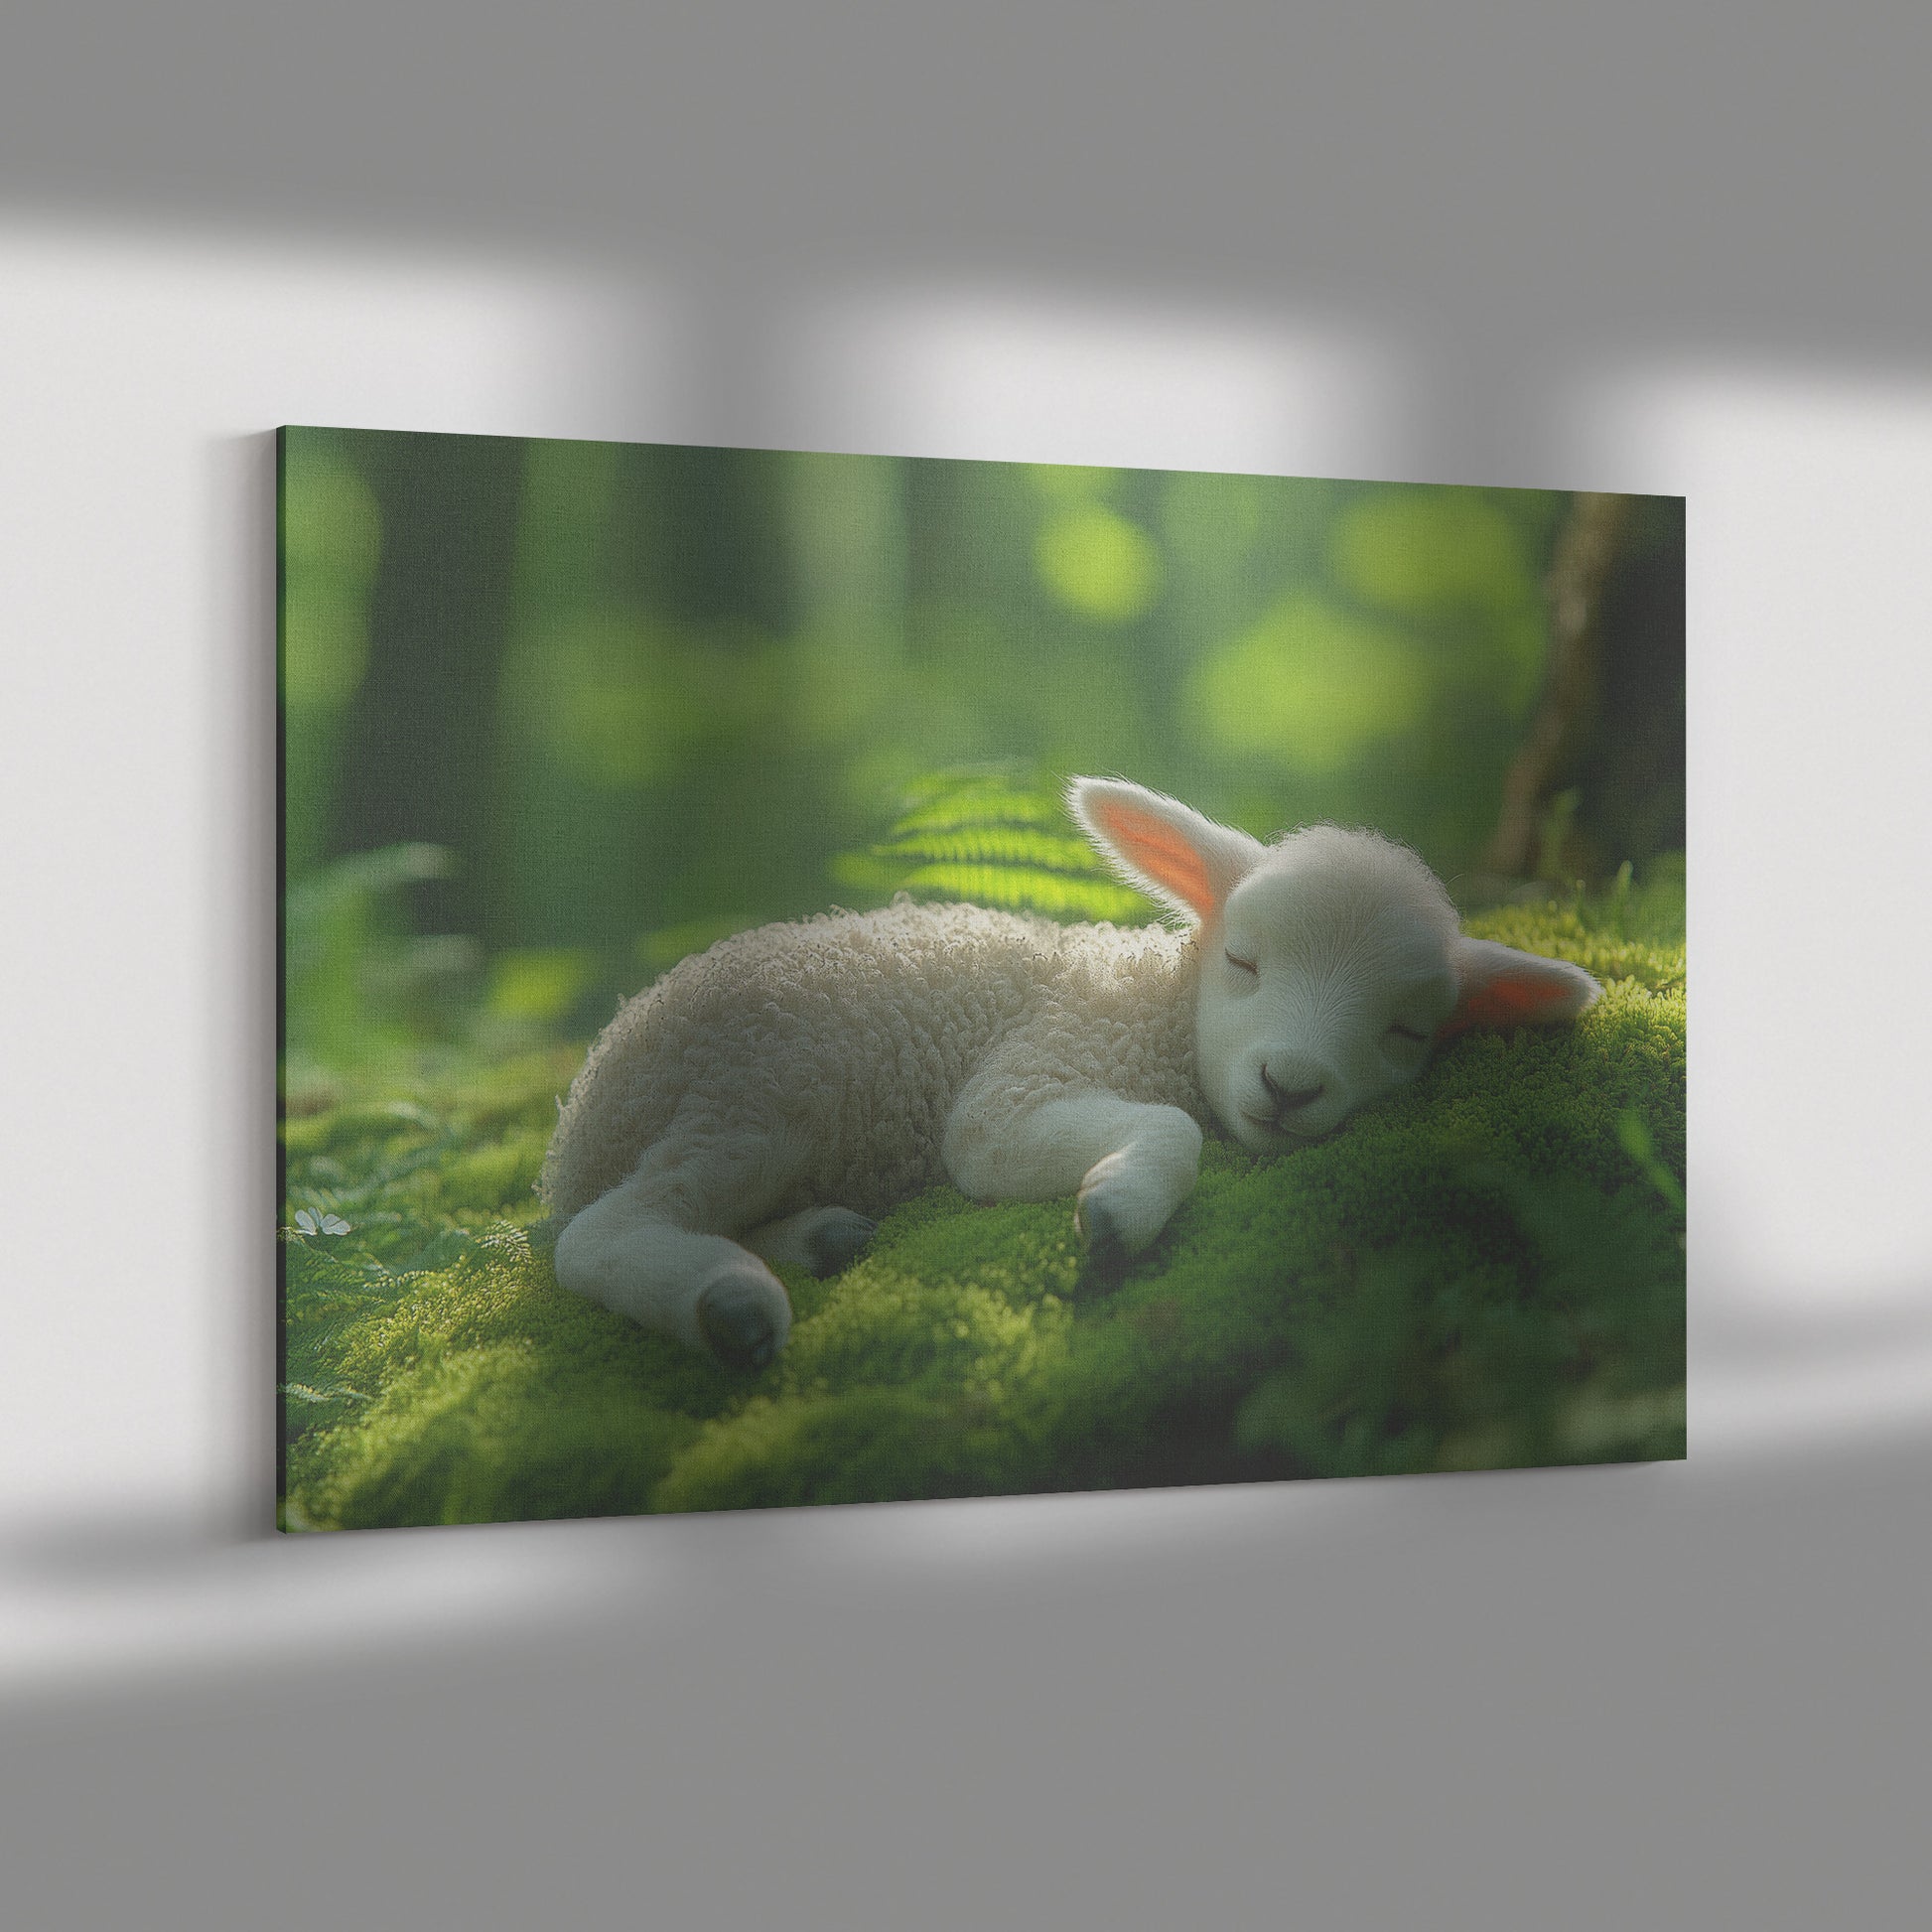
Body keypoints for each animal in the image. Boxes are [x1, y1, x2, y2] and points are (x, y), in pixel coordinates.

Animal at [542, 779, 1602, 1368]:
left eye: (1406, 1031)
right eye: (1244, 959)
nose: (1291, 1084)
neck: (1155, 1000)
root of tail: (577, 1122)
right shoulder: (1026, 1080)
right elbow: (1160, 1131)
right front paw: (1121, 1210)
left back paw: (819, 1238)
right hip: (753, 1092)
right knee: (601, 1234)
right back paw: (728, 1302)